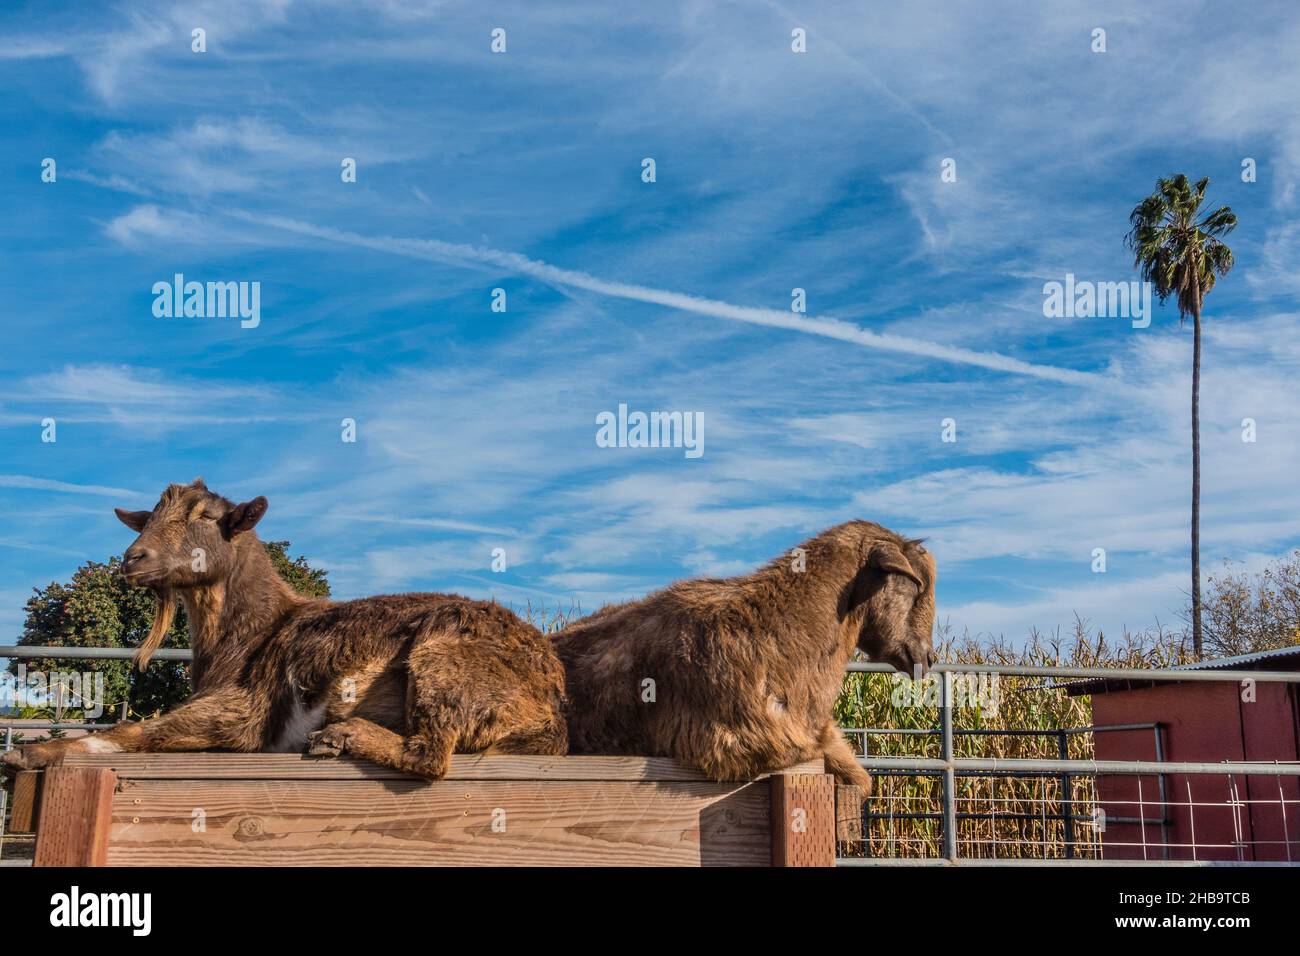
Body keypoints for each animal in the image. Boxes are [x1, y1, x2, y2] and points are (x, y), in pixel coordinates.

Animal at [3, 479, 567, 777]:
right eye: (147, 517)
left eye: (205, 516)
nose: (133, 559)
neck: (251, 634)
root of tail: (550, 708)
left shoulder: (247, 711)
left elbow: (129, 731)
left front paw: (30, 752)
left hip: (440, 657)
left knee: (431, 755)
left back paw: (343, 735)